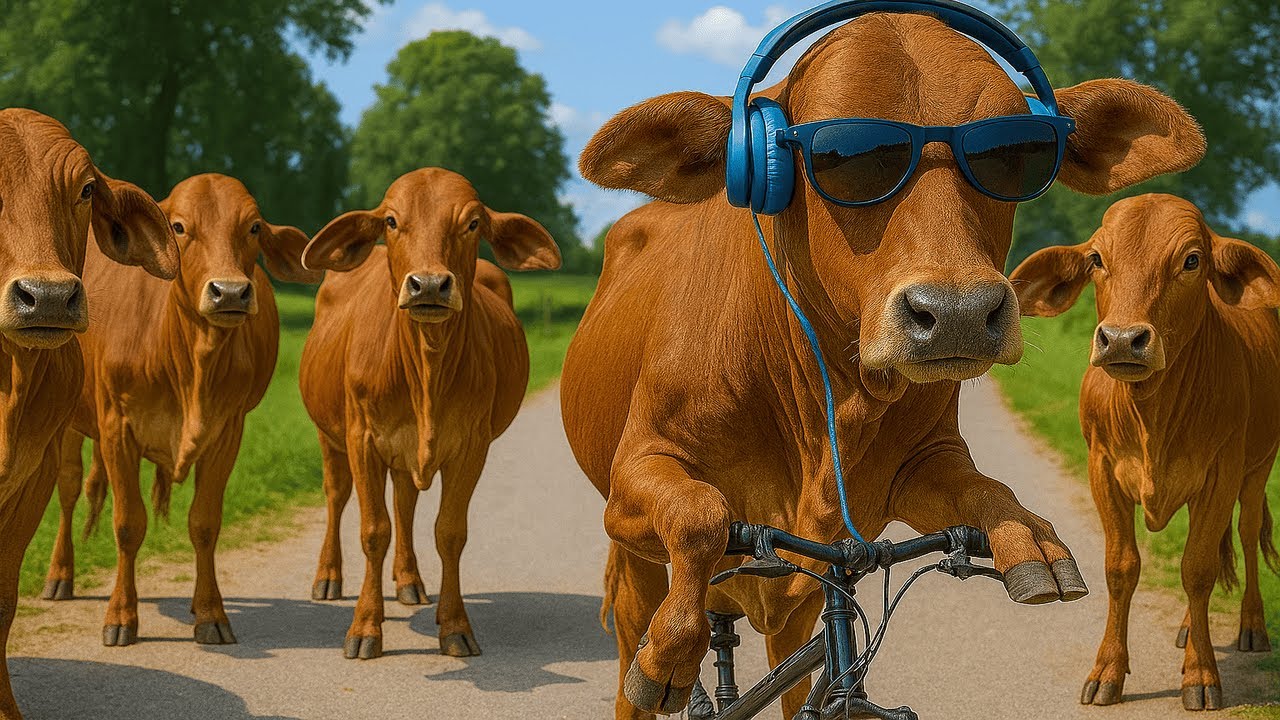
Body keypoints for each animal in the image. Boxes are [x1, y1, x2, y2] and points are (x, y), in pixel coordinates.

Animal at [39, 173, 319, 648]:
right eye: (179, 227)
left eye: (254, 228)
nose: (230, 291)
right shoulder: (117, 427)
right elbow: (128, 524)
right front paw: (121, 617)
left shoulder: (228, 430)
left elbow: (204, 524)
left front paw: (210, 614)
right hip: (68, 422)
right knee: (69, 487)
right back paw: (59, 576)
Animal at [299, 167, 560, 659]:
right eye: (391, 221)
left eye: (473, 223)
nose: (430, 284)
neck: (425, 367)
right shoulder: (362, 438)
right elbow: (372, 530)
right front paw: (365, 627)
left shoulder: (472, 446)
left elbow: (449, 532)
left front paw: (454, 626)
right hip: (329, 434)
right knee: (337, 496)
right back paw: (328, 577)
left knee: (404, 504)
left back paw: (408, 580)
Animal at [560, 13, 1208, 720]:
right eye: (846, 157)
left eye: (1017, 151)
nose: (957, 311)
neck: (826, 406)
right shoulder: (640, 469)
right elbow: (701, 514)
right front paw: (670, 655)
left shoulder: (926, 461)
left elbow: (989, 492)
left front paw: (1031, 538)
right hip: (635, 567)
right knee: (639, 641)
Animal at [1009, 193, 1280, 711]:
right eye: (1097, 259)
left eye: (1192, 260)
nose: (1121, 339)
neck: (1152, 413)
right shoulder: (1102, 469)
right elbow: (1122, 568)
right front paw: (1108, 671)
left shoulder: (1222, 473)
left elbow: (1197, 569)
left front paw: (1200, 674)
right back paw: (1189, 628)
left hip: (1258, 468)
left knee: (1245, 533)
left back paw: (1252, 627)